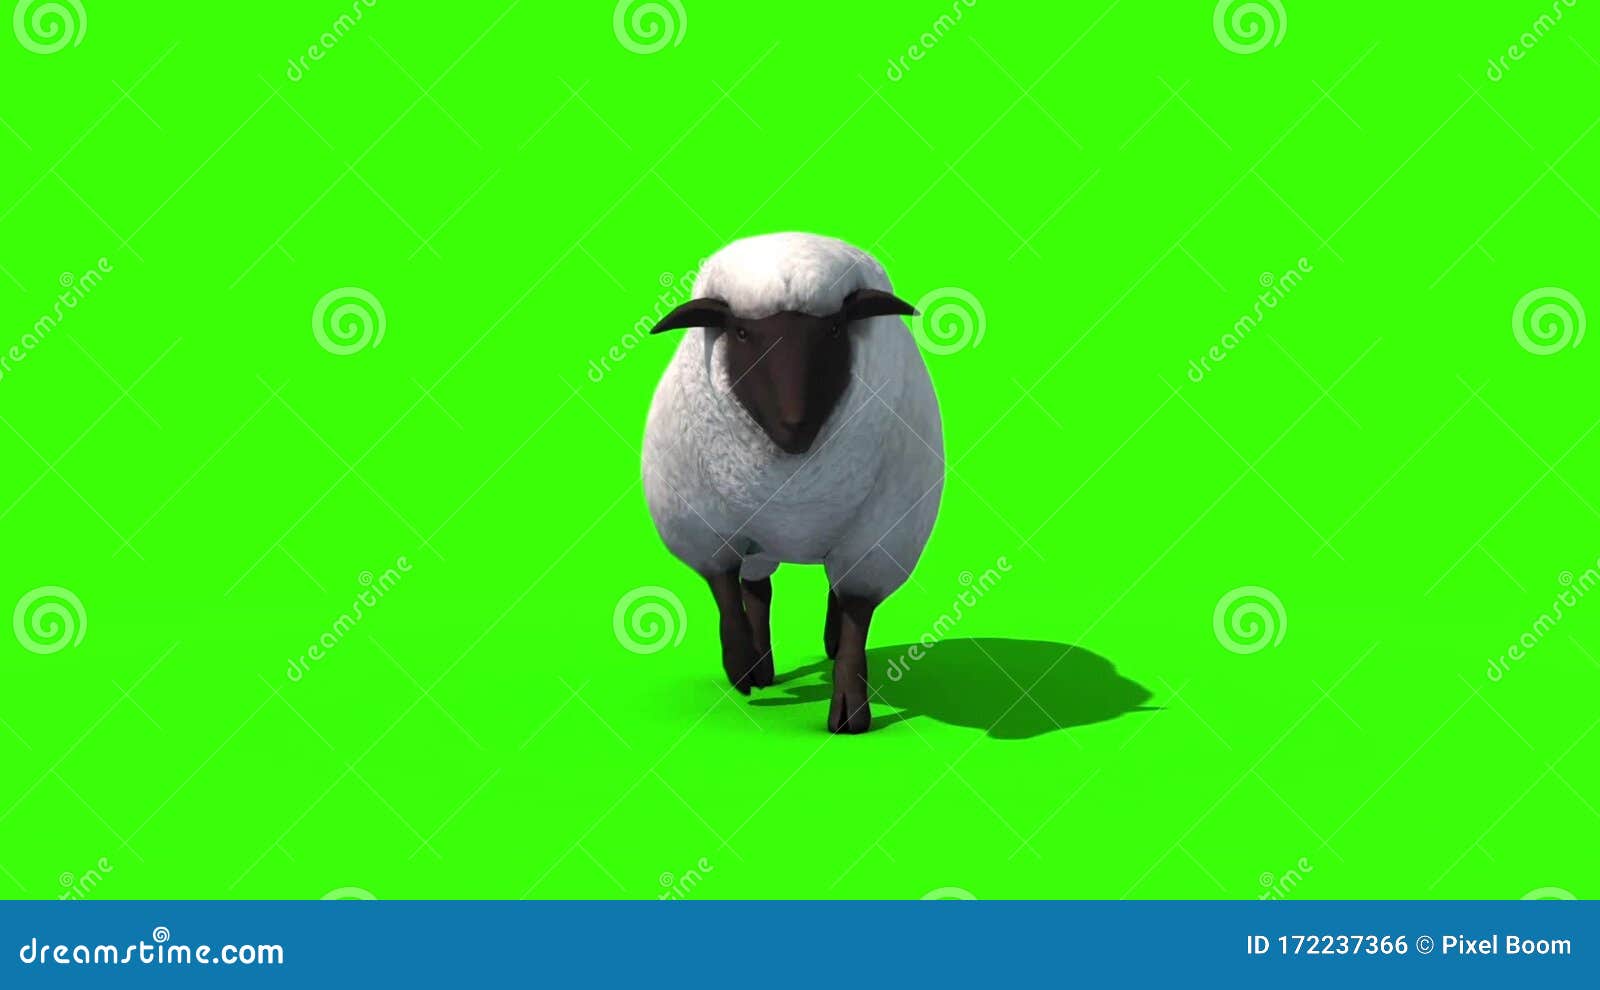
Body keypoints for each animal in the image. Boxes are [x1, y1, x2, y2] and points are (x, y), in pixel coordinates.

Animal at [641, 232, 944, 733]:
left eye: (835, 331)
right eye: (742, 333)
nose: (794, 425)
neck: (796, 496)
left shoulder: (878, 540)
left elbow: (856, 618)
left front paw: (850, 708)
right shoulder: (703, 527)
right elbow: (726, 592)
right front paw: (740, 665)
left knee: (830, 594)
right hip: (753, 538)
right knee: (756, 588)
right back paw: (761, 667)